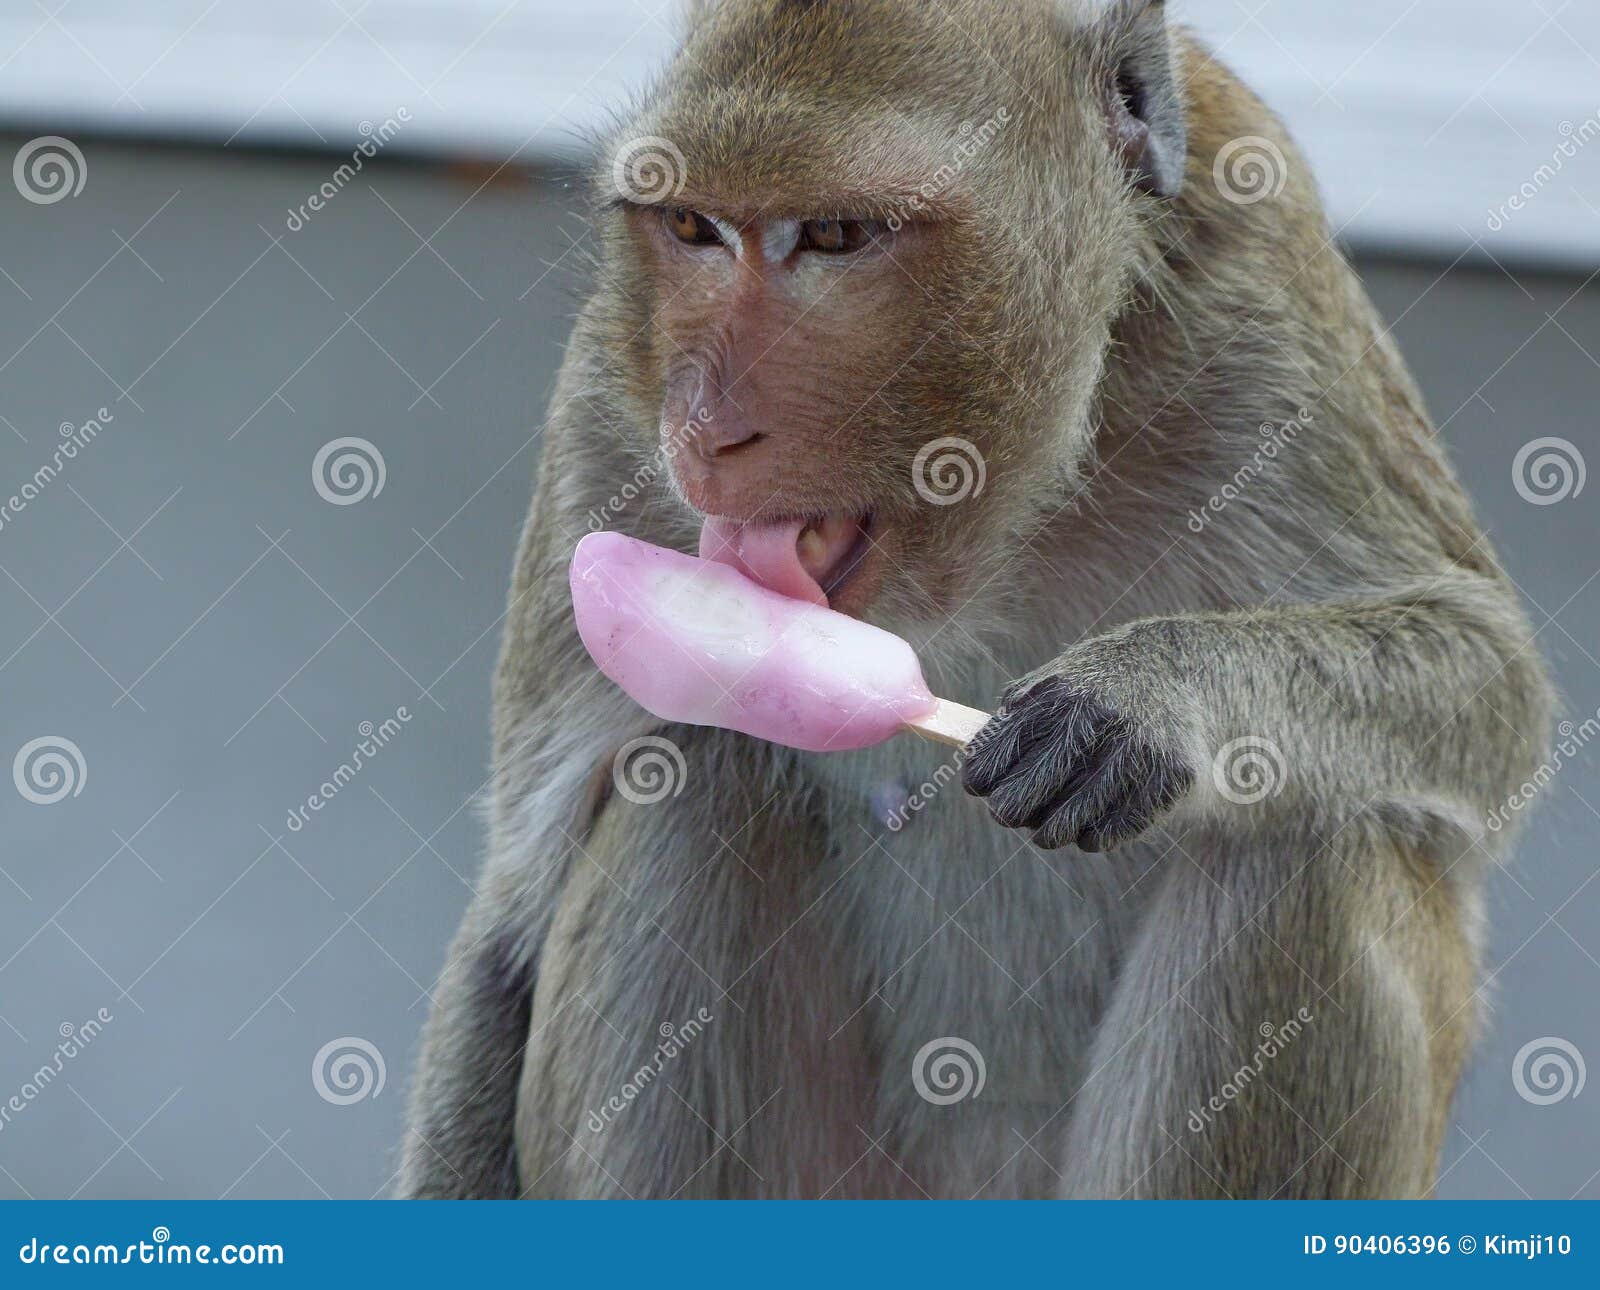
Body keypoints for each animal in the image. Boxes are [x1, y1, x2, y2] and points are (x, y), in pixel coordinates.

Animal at [398, 0, 1552, 1200]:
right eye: (692, 228)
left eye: (837, 237)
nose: (705, 429)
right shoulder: (605, 402)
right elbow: (511, 925)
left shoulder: (1264, 296)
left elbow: (1492, 682)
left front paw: (1141, 700)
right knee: (687, 775)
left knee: (1307, 838)